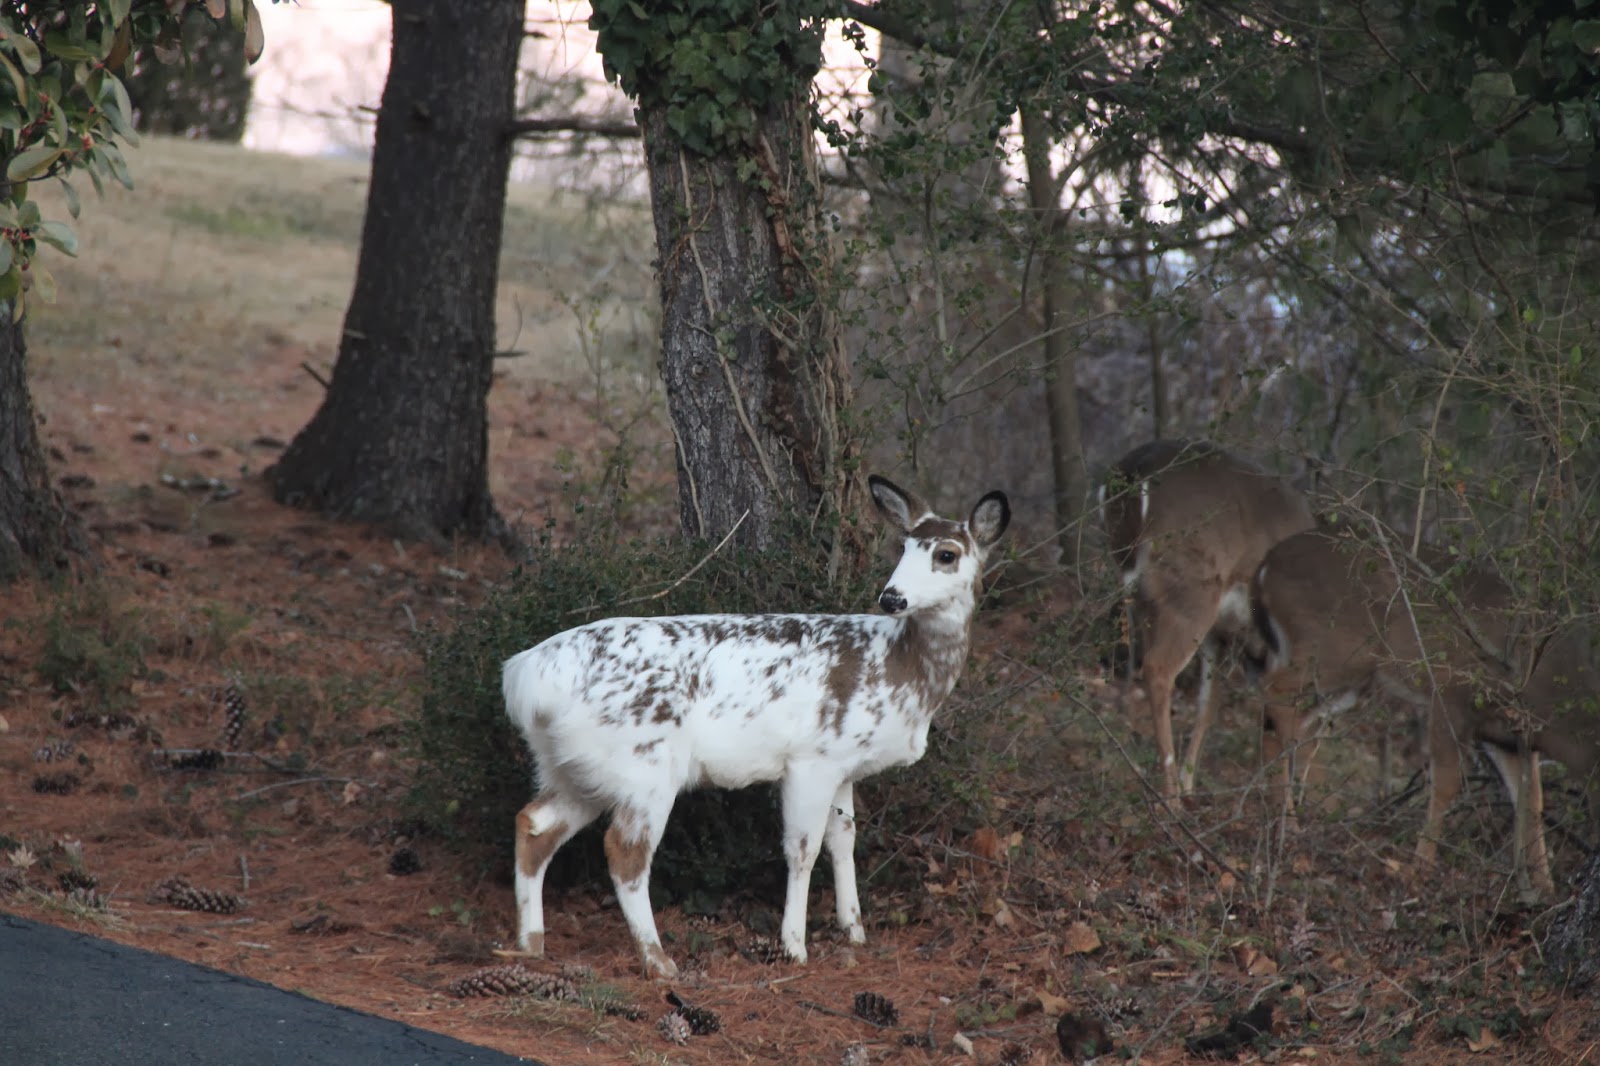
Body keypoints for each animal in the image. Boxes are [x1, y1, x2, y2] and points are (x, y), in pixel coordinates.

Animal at [501, 475, 1010, 978]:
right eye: (902, 547)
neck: (899, 669)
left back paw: (531, 942)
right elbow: (802, 848)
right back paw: (658, 959)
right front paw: (794, 945)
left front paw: (854, 929)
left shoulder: (845, 764)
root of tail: (527, 675)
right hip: (644, 763)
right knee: (624, 852)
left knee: (534, 822)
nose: (892, 597)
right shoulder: (811, 759)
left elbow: (843, 840)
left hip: (575, 764)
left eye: (946, 554)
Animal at [1099, 438, 1315, 799]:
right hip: (1192, 589)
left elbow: (1209, 703)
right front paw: (1286, 808)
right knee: (1158, 668)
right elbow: (1276, 719)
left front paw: (1190, 783)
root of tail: (1135, 474)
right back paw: (1169, 796)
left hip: (1141, 592)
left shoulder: (1221, 634)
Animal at [1251, 527, 1600, 895]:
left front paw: (1545, 888)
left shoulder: (1508, 737)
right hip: (1334, 650)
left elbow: (1531, 801)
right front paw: (1421, 865)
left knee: (1294, 718)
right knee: (1272, 695)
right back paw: (1288, 820)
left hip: (1350, 676)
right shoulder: (1450, 696)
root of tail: (1264, 568)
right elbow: (1447, 781)